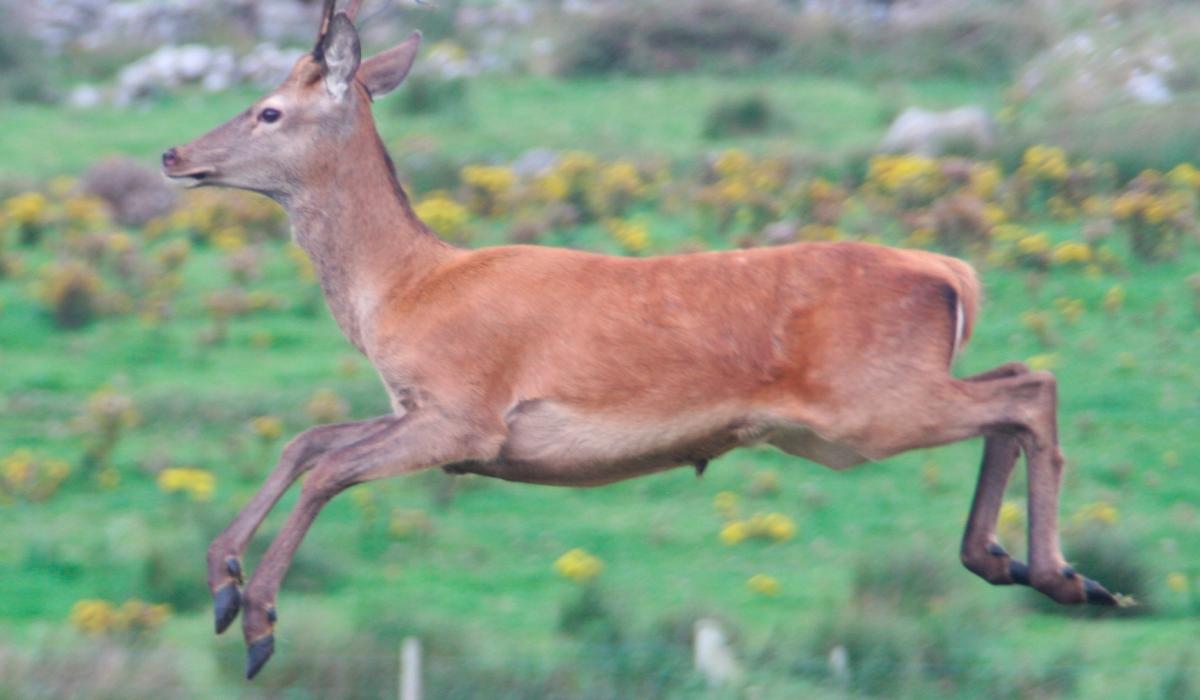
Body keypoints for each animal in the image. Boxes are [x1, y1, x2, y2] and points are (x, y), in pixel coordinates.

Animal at [161, 0, 1120, 680]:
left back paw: (1061, 573)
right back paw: (1008, 562)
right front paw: (219, 580)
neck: (403, 290)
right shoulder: (428, 414)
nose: (174, 154)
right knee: (1013, 381)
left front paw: (257, 622)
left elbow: (329, 467)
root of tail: (952, 272)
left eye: (268, 111)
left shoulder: (468, 413)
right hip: (888, 392)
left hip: (867, 403)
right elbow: (308, 440)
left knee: (1030, 389)